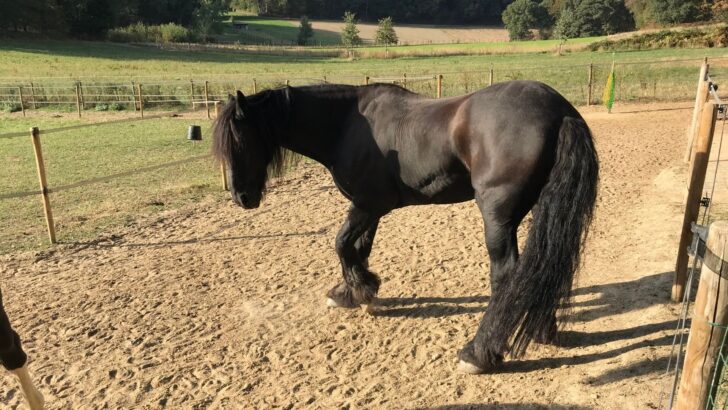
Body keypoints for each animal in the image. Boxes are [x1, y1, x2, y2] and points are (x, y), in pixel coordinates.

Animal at [212, 80, 599, 374]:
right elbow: (358, 248)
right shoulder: (371, 209)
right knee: (541, 265)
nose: (241, 197)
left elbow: (341, 243)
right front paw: (356, 291)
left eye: (241, 141)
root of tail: (559, 111)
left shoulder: (367, 205)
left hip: (497, 217)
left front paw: (356, 289)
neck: (347, 125)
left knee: (508, 276)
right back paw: (540, 328)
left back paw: (479, 353)